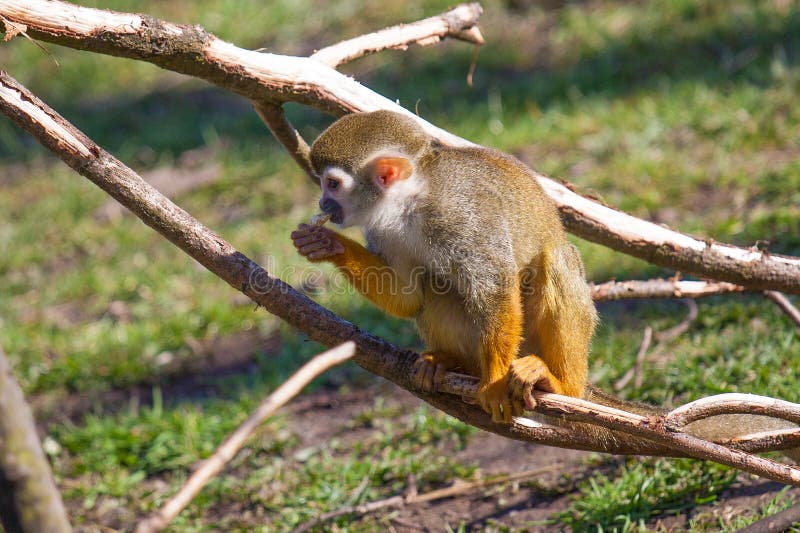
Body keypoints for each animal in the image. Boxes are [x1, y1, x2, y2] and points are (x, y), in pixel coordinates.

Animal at [289, 110, 800, 456]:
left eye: (332, 184)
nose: (324, 205)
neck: (409, 204)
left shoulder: (460, 217)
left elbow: (495, 287)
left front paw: (494, 383)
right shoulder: (383, 231)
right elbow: (408, 295)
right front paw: (325, 244)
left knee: (553, 260)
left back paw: (555, 382)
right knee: (437, 286)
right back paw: (453, 363)